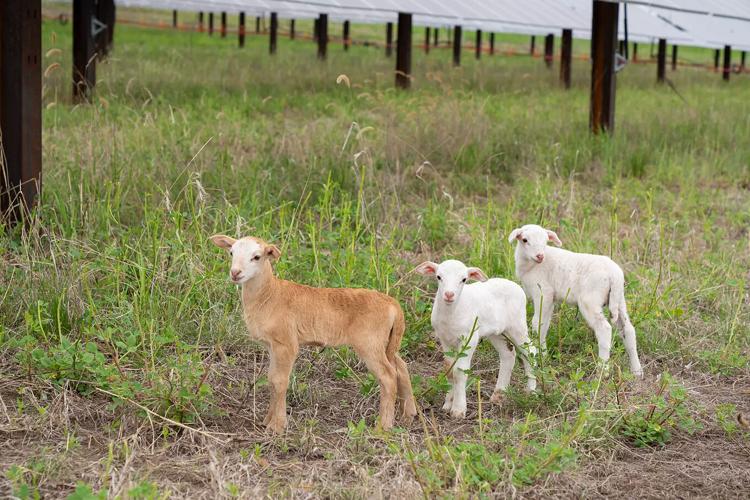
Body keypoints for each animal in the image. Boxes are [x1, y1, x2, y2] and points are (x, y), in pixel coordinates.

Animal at [210, 234, 417, 433]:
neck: (269, 294)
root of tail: (393, 305)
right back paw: (408, 415)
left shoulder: (286, 343)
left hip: (369, 343)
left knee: (388, 377)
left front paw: (277, 426)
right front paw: (267, 420)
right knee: (401, 367)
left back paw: (383, 426)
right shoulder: (272, 345)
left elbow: (279, 381)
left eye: (257, 257)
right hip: (387, 342)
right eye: (231, 253)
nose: (235, 273)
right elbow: (271, 380)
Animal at [416, 259, 536, 419]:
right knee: (508, 355)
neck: (451, 313)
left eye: (464, 279)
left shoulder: (470, 337)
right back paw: (498, 395)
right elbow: (449, 370)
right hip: (496, 332)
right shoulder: (444, 339)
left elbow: (459, 372)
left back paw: (531, 391)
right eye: (439, 277)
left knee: (530, 351)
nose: (449, 294)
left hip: (517, 325)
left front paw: (458, 409)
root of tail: (516, 285)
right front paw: (447, 404)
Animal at [508, 224, 643, 377]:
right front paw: (544, 354)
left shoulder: (543, 293)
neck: (531, 266)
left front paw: (540, 355)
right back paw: (637, 370)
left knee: (604, 329)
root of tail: (614, 275)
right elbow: (545, 323)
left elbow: (538, 323)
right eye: (525, 240)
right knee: (628, 330)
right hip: (619, 299)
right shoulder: (550, 299)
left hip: (589, 300)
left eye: (545, 240)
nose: (540, 256)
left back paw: (602, 371)